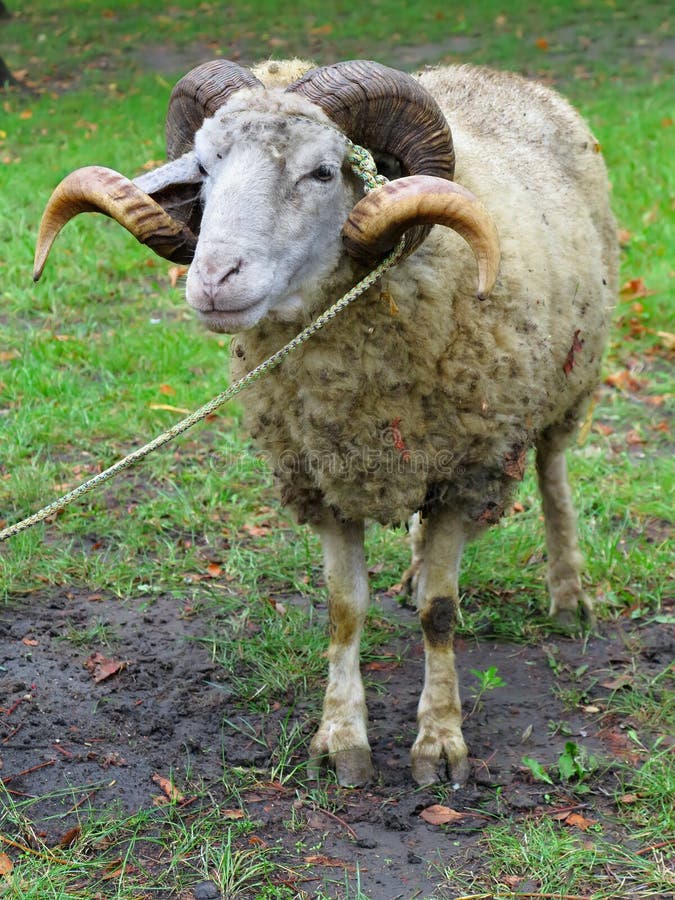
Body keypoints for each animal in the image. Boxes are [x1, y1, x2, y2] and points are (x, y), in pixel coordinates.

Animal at [33, 58, 618, 788]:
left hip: (569, 379)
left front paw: (439, 740)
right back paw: (416, 568)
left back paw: (567, 594)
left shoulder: (467, 472)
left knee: (552, 474)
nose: (214, 279)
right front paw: (341, 738)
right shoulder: (323, 474)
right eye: (205, 167)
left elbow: (441, 613)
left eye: (321, 172)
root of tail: (491, 72)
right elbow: (344, 610)